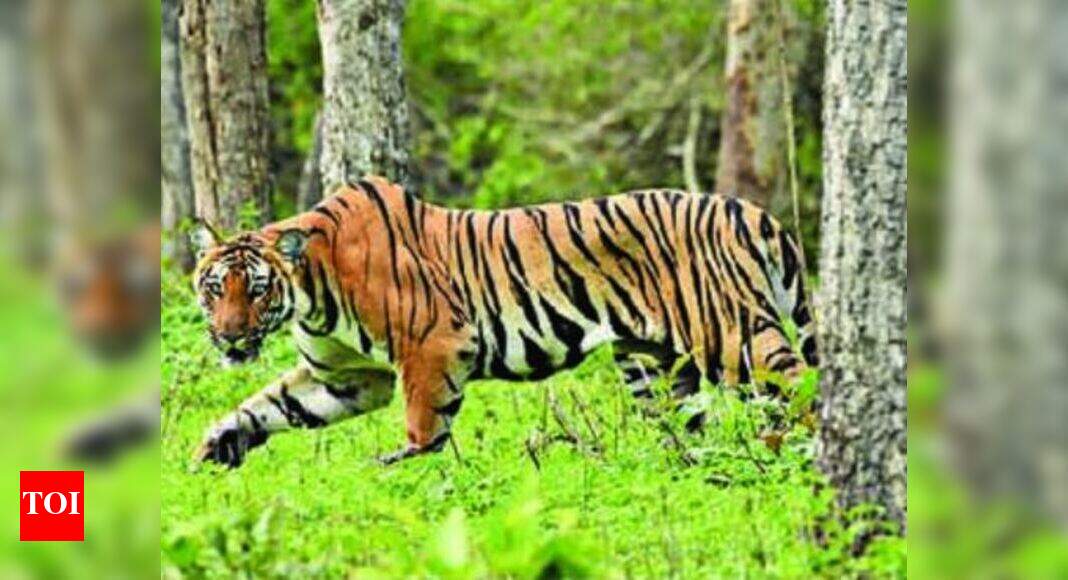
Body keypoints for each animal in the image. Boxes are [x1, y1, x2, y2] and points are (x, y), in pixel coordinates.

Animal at [191, 176, 816, 467]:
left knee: (798, 388)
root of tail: (752, 211)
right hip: (652, 364)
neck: (310, 294)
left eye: (258, 289)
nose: (231, 335)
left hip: (734, 337)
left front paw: (394, 470)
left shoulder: (436, 343)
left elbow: (425, 432)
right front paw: (215, 446)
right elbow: (268, 405)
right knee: (688, 427)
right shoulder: (346, 377)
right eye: (215, 288)